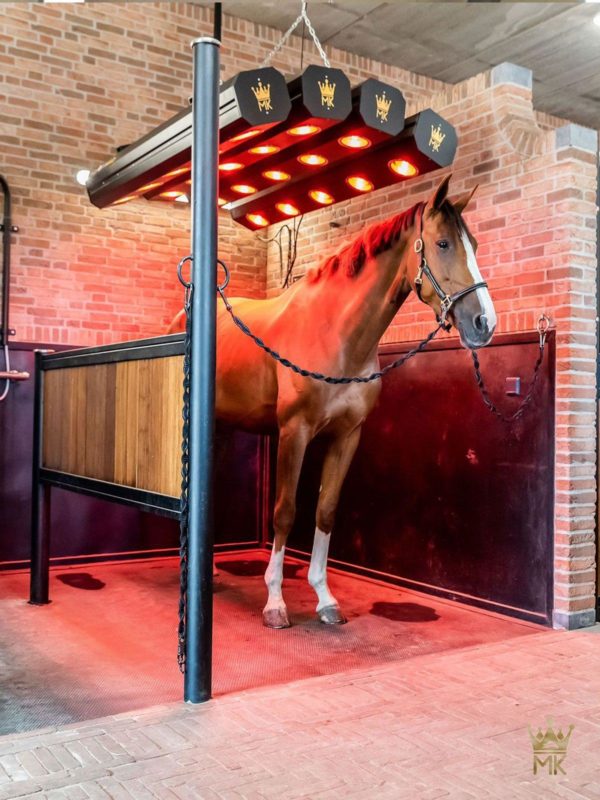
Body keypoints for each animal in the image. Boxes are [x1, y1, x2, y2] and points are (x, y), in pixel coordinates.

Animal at [168, 174, 497, 629]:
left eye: (476, 245)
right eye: (444, 243)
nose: (484, 323)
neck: (336, 334)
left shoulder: (347, 436)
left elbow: (326, 510)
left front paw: (324, 598)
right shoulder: (294, 432)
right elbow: (285, 512)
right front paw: (275, 603)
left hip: (219, 427)